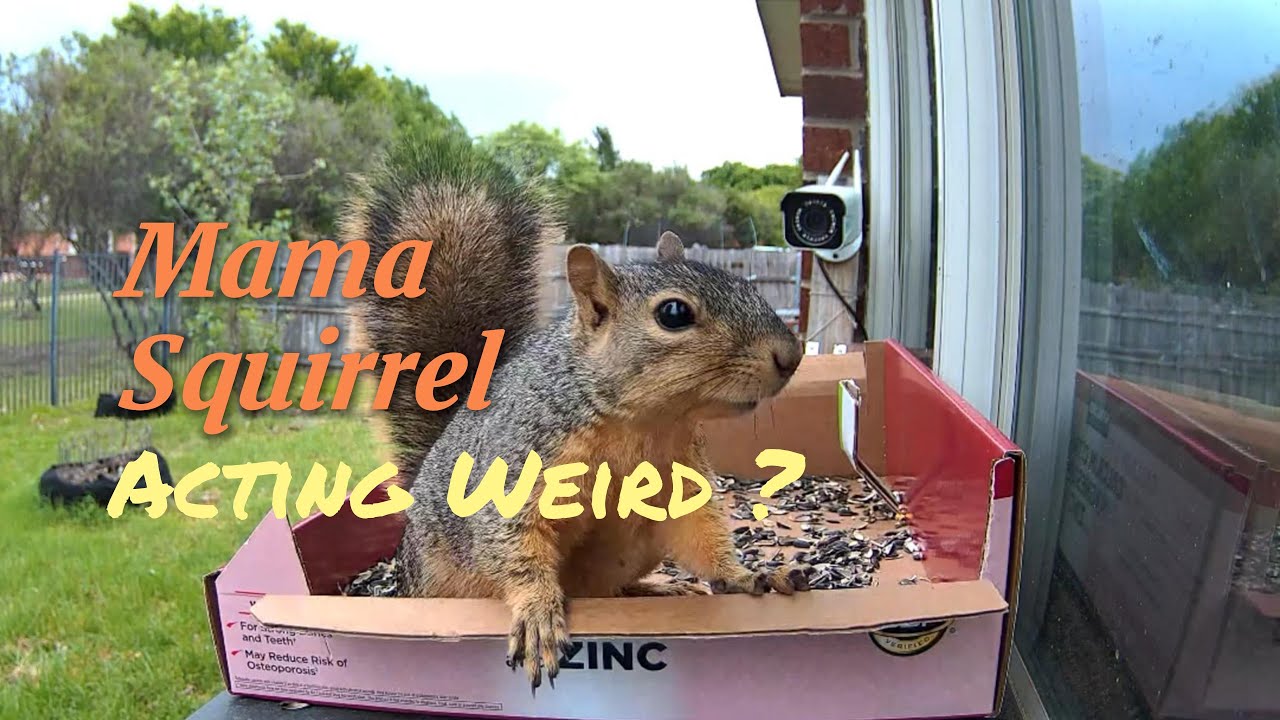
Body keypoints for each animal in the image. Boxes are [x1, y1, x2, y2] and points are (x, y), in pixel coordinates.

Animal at [342, 133, 809, 690]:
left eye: (745, 285)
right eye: (674, 313)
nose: (792, 354)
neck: (639, 423)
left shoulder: (679, 477)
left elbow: (701, 534)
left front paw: (746, 574)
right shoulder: (516, 464)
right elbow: (516, 545)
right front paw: (538, 613)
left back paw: (653, 589)